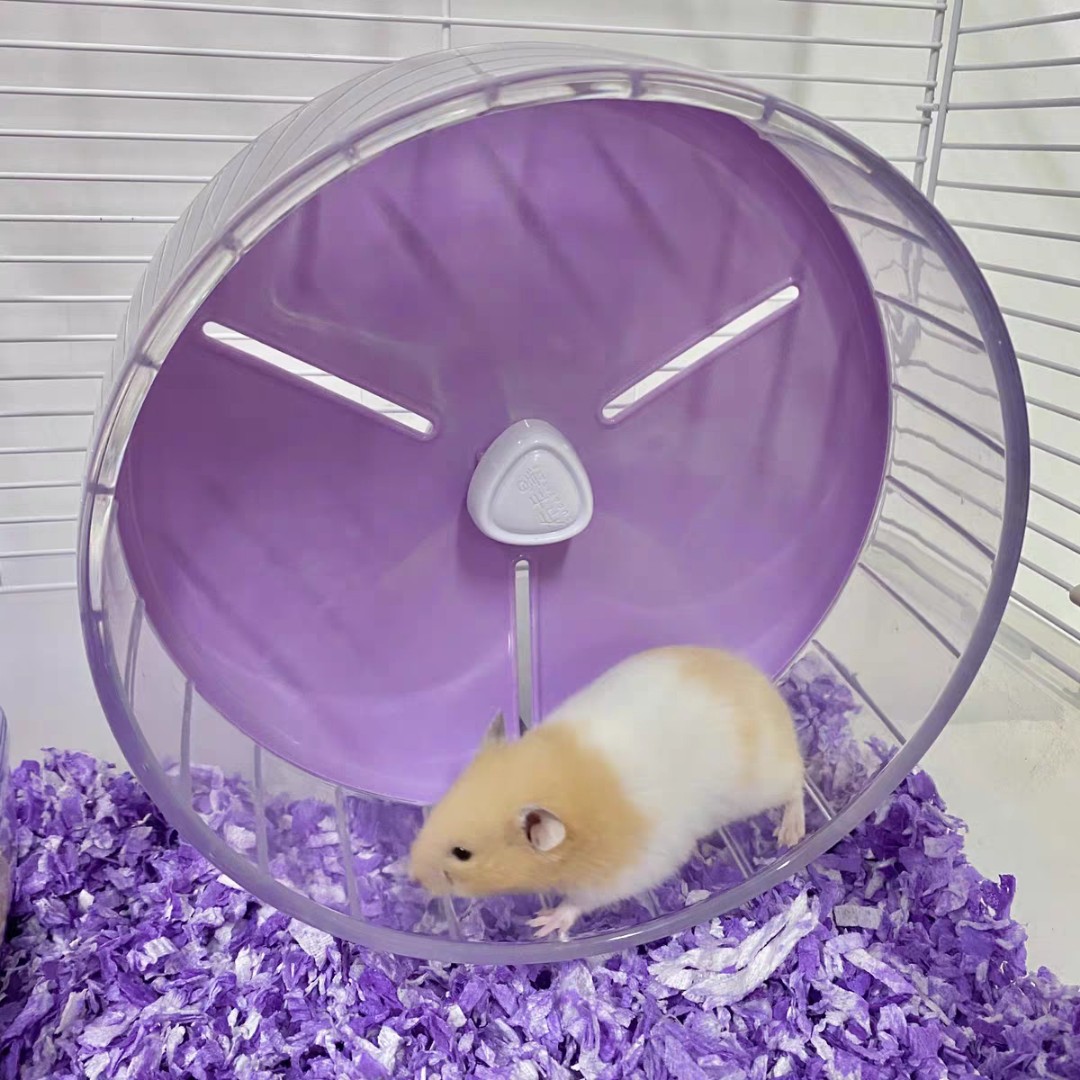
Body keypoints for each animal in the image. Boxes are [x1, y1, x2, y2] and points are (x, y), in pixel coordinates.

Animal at [408, 646, 805, 940]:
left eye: (462, 854)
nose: (412, 877)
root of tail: (769, 690)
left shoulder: (628, 871)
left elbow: (579, 902)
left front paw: (542, 923)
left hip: (765, 782)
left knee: (797, 782)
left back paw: (790, 834)